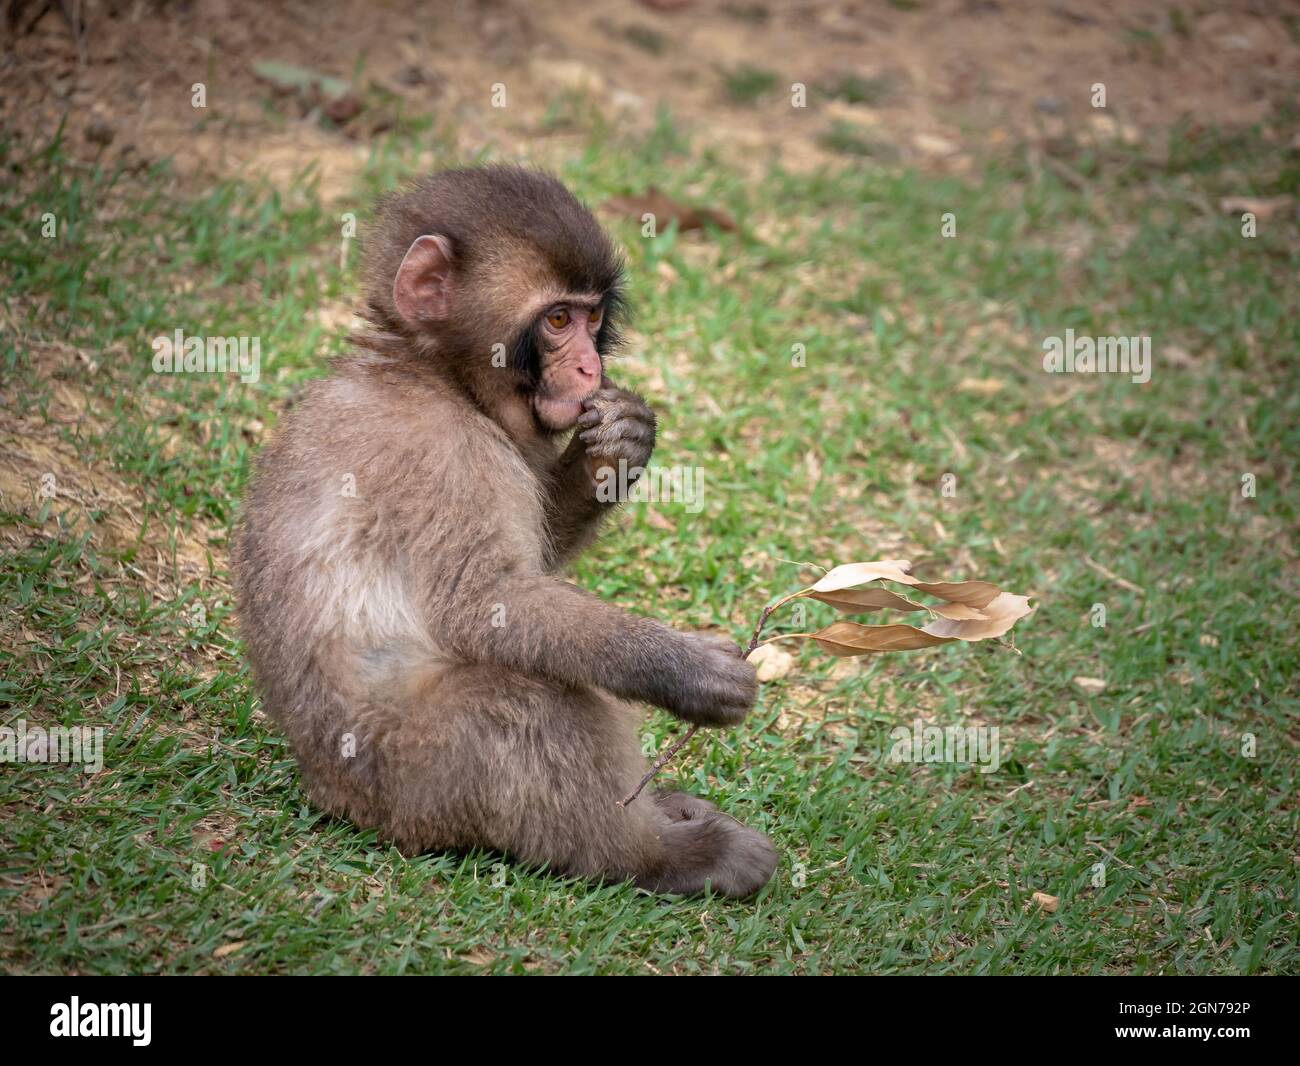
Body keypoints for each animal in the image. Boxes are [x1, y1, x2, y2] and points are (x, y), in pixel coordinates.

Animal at [232, 165, 777, 898]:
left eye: (592, 318)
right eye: (557, 320)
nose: (590, 369)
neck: (431, 373)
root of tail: (330, 794)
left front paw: (616, 448)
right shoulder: (442, 454)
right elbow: (487, 603)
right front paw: (685, 670)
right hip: (418, 778)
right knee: (525, 698)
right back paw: (655, 855)